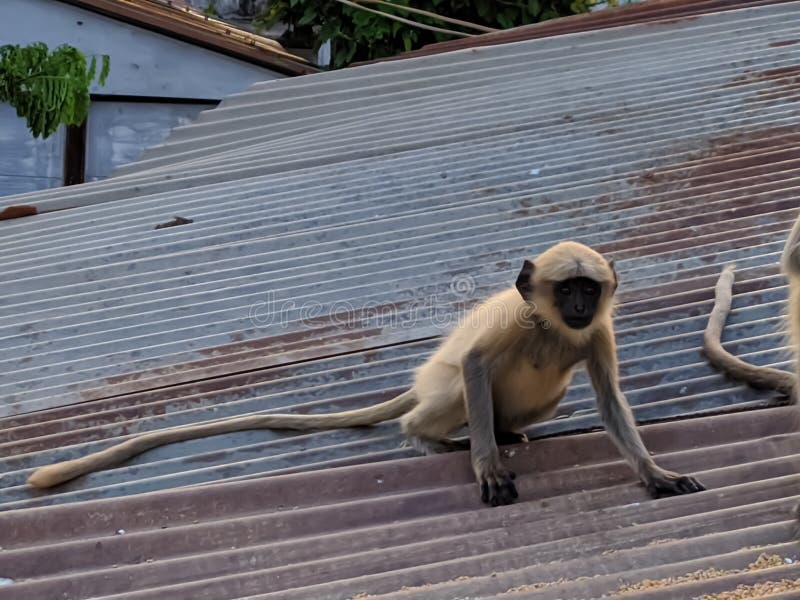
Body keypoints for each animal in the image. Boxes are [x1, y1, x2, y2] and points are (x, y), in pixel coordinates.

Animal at [28, 241, 705, 506]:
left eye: (589, 290)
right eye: (566, 289)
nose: (580, 307)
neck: (551, 326)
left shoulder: (599, 334)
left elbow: (612, 401)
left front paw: (654, 473)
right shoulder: (517, 319)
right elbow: (477, 363)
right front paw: (486, 466)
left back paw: (507, 431)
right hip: (441, 392)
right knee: (458, 390)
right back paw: (432, 437)